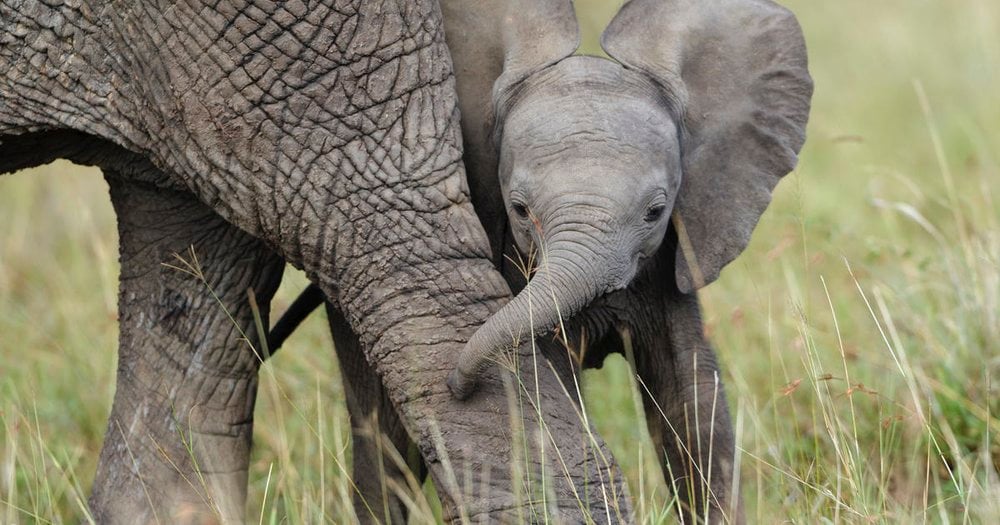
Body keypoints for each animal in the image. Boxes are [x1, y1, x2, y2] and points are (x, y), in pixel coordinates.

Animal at [272, 0, 812, 522]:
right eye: (519, 209)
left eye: (656, 212)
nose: (458, 384)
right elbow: (560, 379)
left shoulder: (667, 265)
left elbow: (693, 397)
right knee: (383, 437)